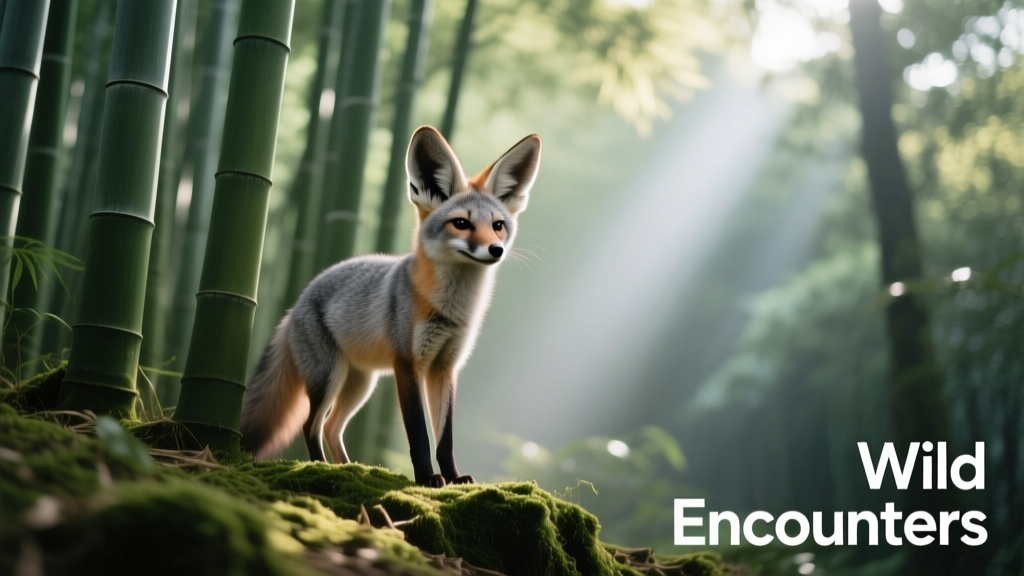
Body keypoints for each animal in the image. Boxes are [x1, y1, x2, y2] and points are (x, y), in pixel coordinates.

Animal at [240, 126, 541, 487]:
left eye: (498, 225)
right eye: (461, 223)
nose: (496, 250)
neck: (449, 311)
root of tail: (296, 304)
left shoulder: (445, 367)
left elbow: (445, 439)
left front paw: (453, 478)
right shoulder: (407, 363)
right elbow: (419, 436)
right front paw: (427, 478)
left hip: (360, 384)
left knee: (331, 427)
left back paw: (350, 469)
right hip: (329, 378)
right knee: (310, 425)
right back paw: (322, 467)